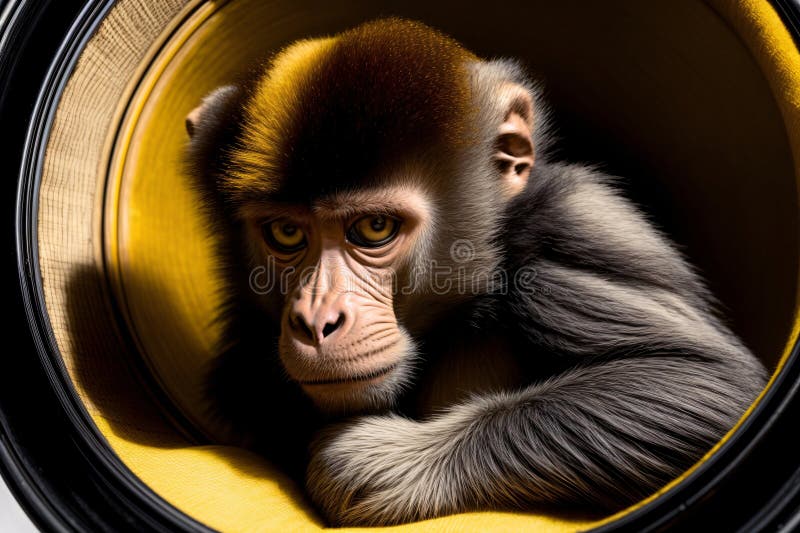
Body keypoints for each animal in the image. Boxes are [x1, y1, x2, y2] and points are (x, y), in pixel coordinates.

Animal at [184, 18, 768, 527]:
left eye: (374, 228)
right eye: (286, 233)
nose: (316, 320)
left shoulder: (571, 226)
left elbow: (706, 382)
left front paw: (372, 460)